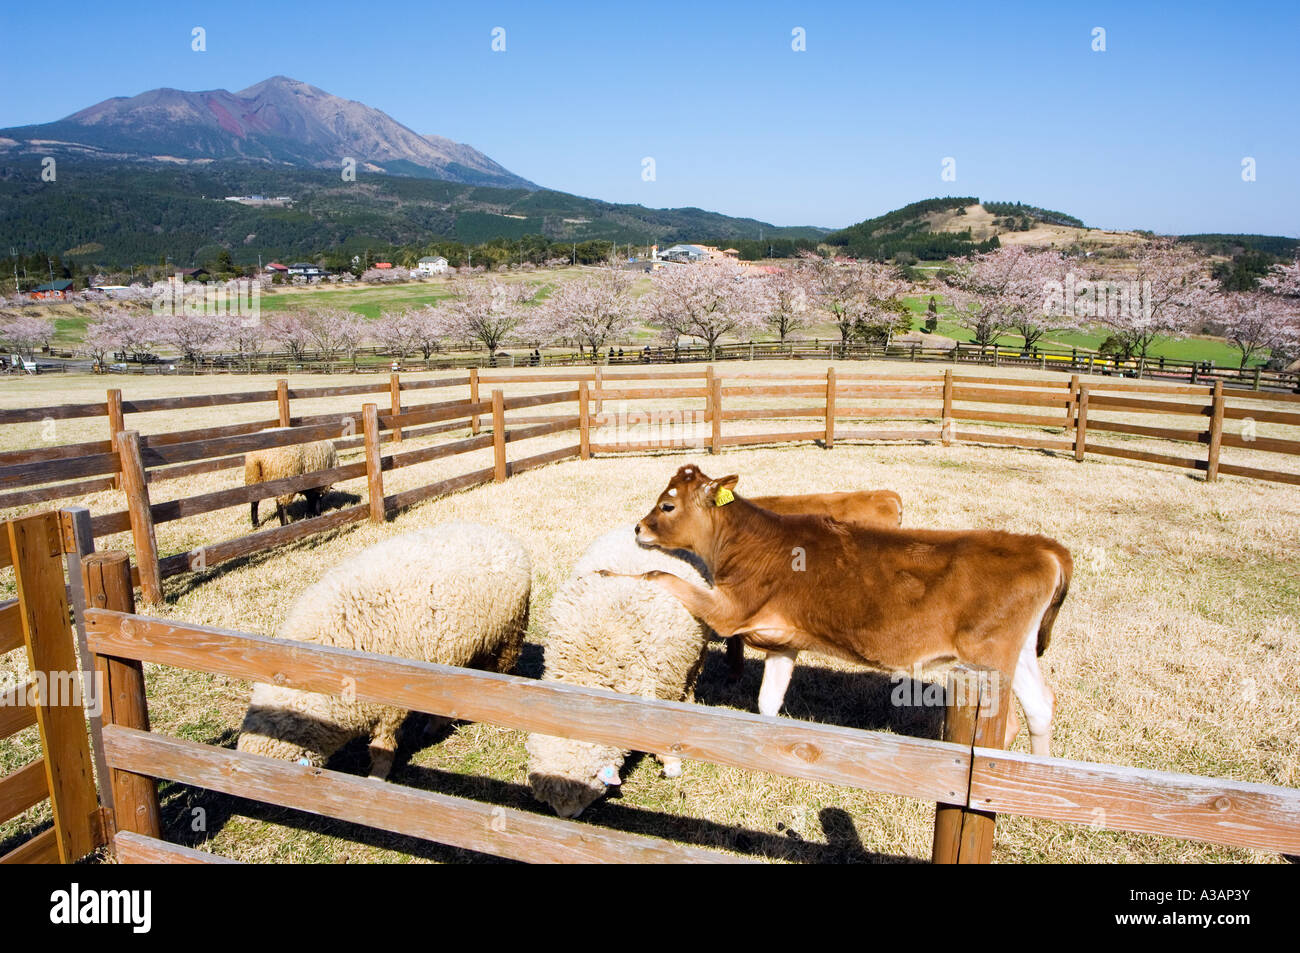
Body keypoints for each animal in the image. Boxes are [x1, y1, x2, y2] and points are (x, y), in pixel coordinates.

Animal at [237, 521, 531, 779]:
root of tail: (498, 534)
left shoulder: (391, 702)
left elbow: (382, 748)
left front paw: (377, 778)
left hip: (510, 633)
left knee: (502, 668)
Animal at [613, 464, 1070, 755]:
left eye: (668, 506)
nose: (637, 528)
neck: (753, 542)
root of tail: (1039, 547)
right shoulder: (783, 641)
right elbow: (768, 703)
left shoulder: (730, 611)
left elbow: (658, 574)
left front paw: (609, 571)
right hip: (1017, 653)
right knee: (1040, 707)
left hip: (989, 658)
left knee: (1010, 721)